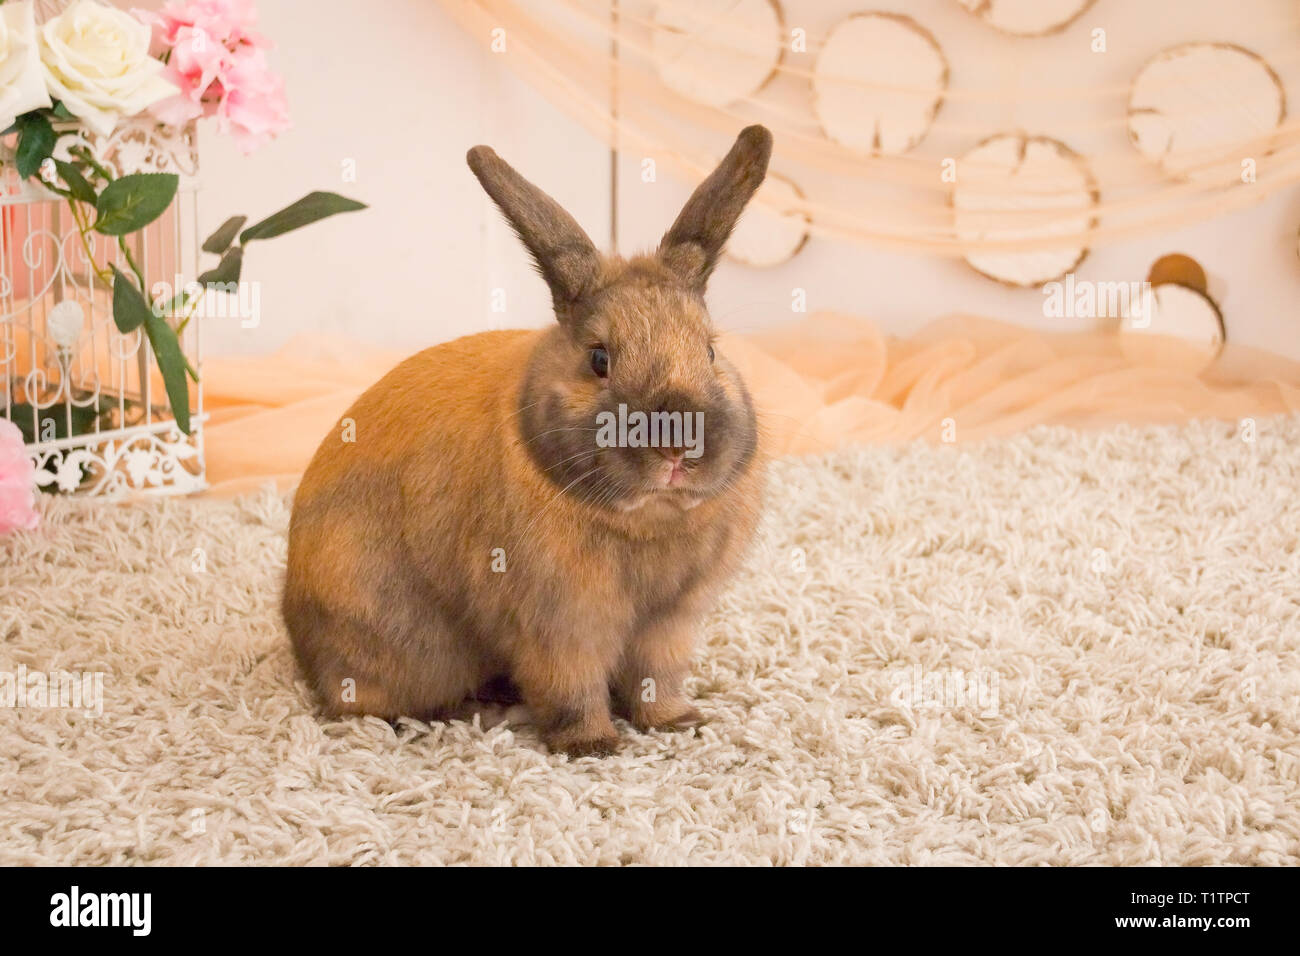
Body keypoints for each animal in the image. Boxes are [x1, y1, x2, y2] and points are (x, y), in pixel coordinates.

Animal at [283, 125, 772, 756]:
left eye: (710, 351)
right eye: (599, 359)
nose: (677, 447)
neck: (647, 521)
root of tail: (295, 629)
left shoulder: (668, 626)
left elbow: (654, 679)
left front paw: (679, 722)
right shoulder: (558, 626)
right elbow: (570, 687)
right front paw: (594, 745)